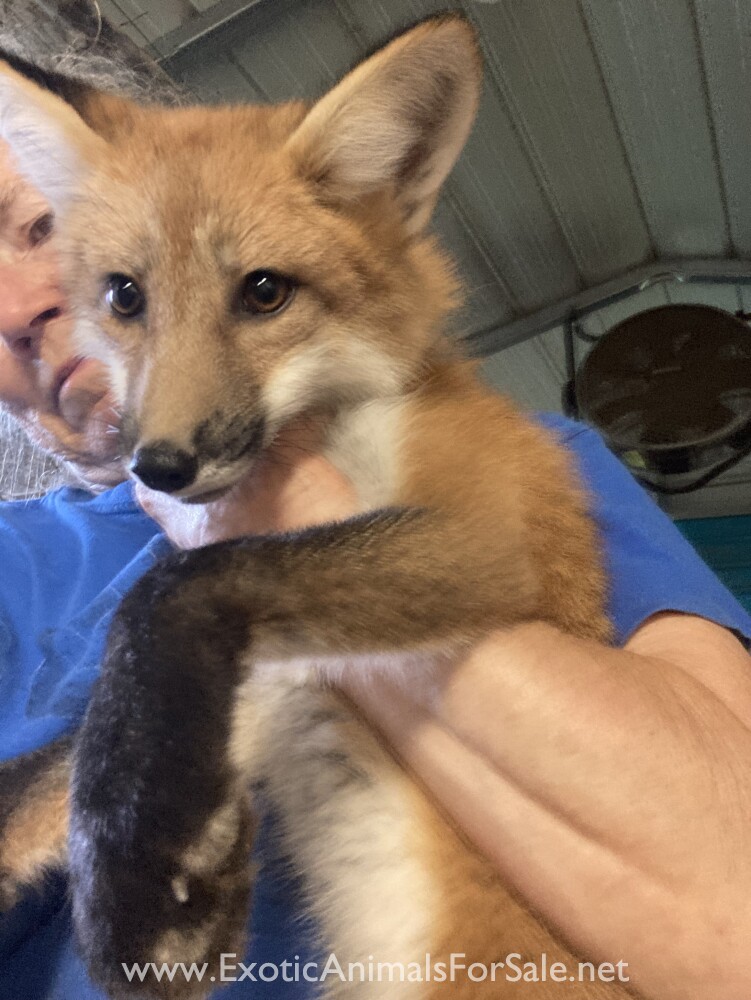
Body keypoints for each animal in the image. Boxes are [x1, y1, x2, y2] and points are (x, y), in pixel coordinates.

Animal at [0, 17, 641, 1000]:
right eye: (125, 296)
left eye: (264, 291)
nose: (161, 465)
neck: (347, 414)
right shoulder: (267, 678)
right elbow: (57, 762)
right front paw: (148, 835)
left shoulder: (484, 535)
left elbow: (170, 593)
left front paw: (139, 869)